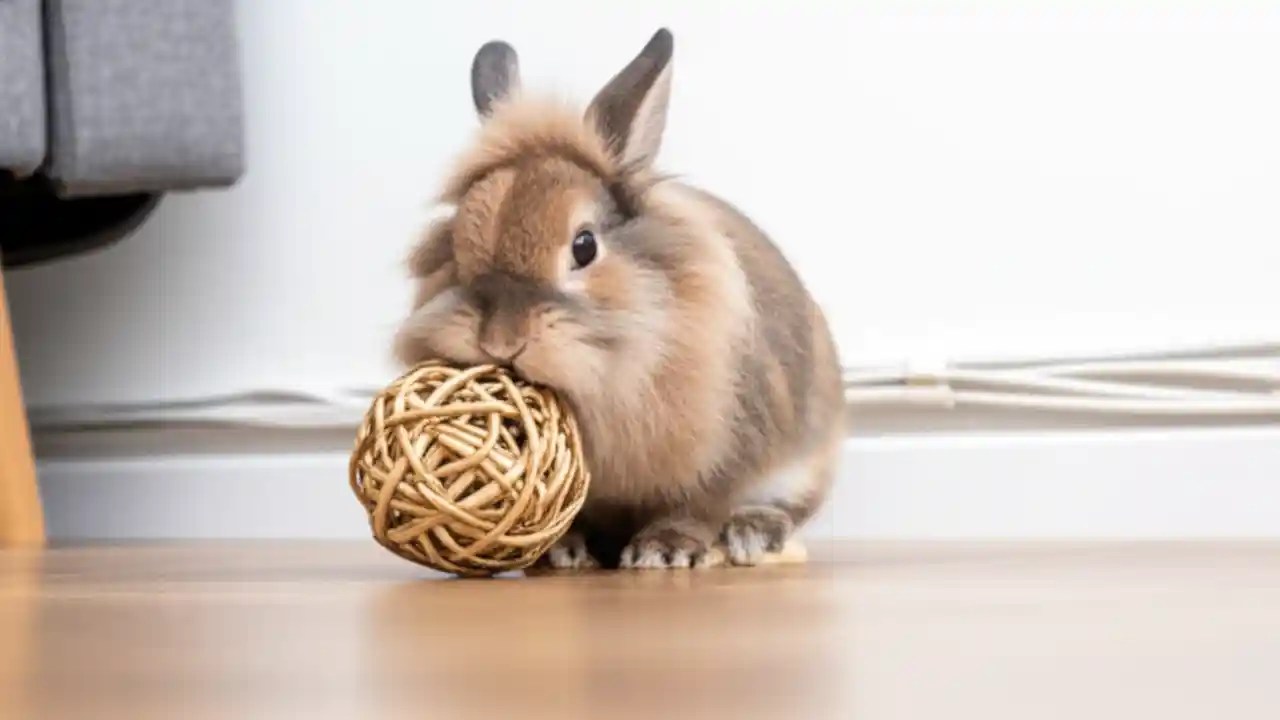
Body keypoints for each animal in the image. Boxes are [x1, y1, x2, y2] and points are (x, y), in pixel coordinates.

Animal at [394, 28, 845, 569]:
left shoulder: (721, 455)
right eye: (457, 247)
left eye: (584, 246)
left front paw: (664, 550)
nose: (500, 341)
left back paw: (752, 534)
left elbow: (697, 506)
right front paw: (561, 551)